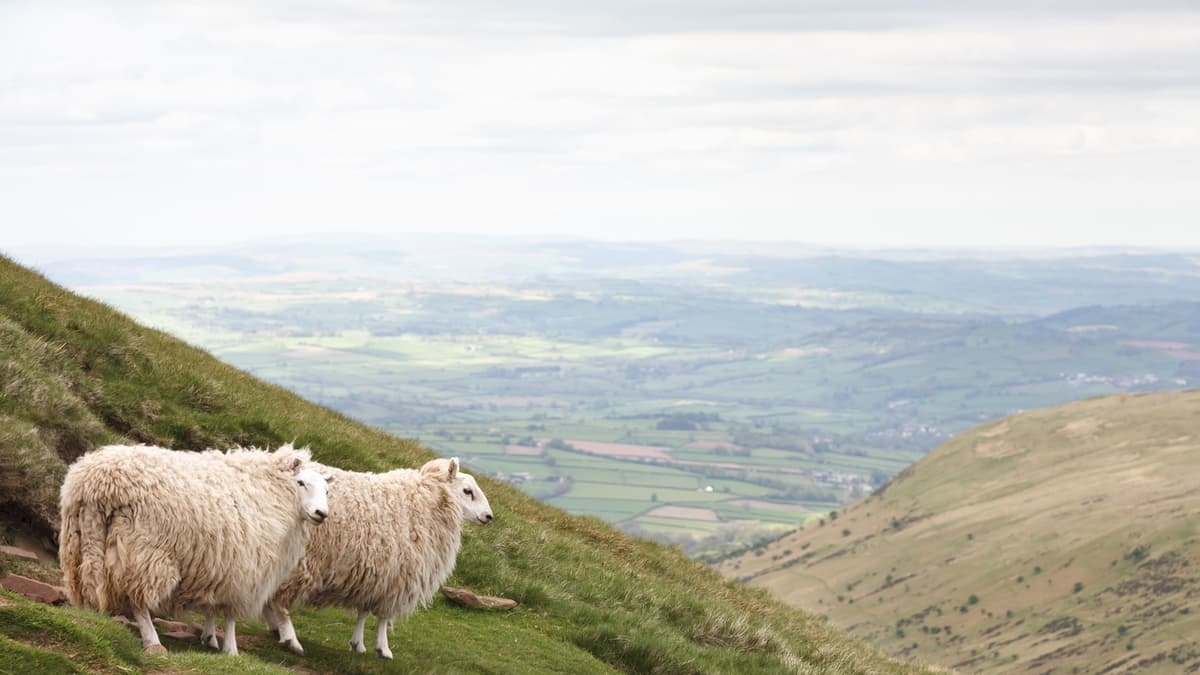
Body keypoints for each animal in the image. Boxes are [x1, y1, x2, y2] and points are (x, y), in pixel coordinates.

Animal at [58, 443, 333, 655]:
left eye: (327, 490)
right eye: (301, 483)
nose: (322, 513)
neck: (271, 492)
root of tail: (98, 483)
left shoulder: (218, 564)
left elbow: (211, 605)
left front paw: (209, 638)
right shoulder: (243, 571)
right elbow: (230, 615)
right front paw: (231, 650)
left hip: (82, 542)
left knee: (91, 584)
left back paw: (92, 617)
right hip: (145, 552)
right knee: (138, 602)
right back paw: (152, 641)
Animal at [263, 456, 493, 660]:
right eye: (467, 491)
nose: (489, 516)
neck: (425, 504)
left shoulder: (375, 574)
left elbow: (364, 611)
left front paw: (358, 644)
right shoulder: (397, 577)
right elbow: (384, 616)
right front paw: (383, 648)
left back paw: (276, 628)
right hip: (300, 562)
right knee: (280, 602)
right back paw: (290, 638)